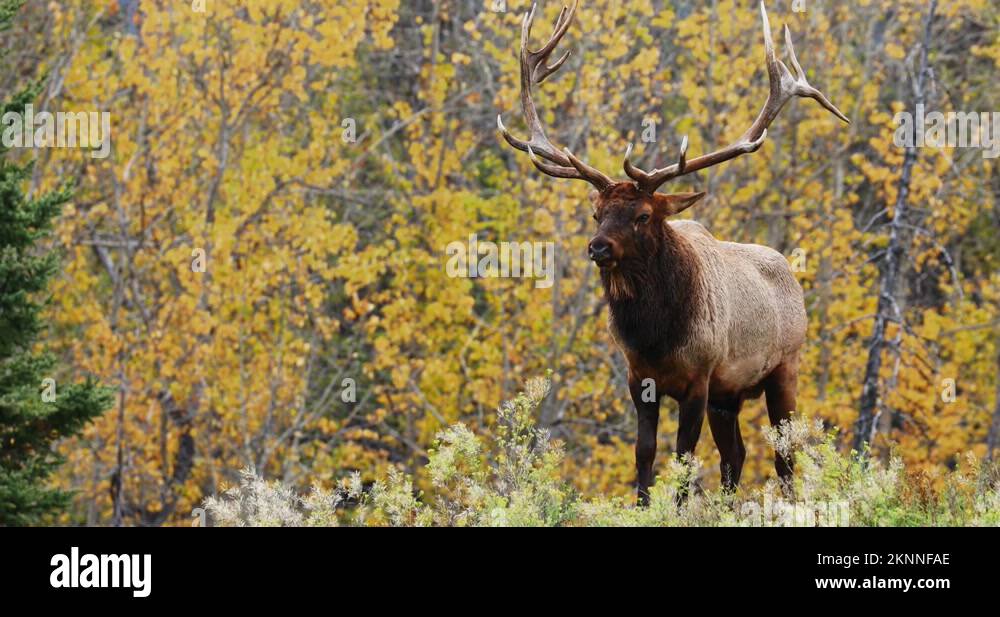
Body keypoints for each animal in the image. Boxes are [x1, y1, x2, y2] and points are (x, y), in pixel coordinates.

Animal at [497, 1, 848, 505]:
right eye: (596, 212)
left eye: (644, 215)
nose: (598, 246)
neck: (655, 336)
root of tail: (792, 277)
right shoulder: (638, 378)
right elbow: (645, 452)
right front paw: (642, 504)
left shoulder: (699, 377)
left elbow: (683, 458)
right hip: (729, 393)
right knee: (736, 455)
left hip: (785, 367)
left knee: (784, 452)